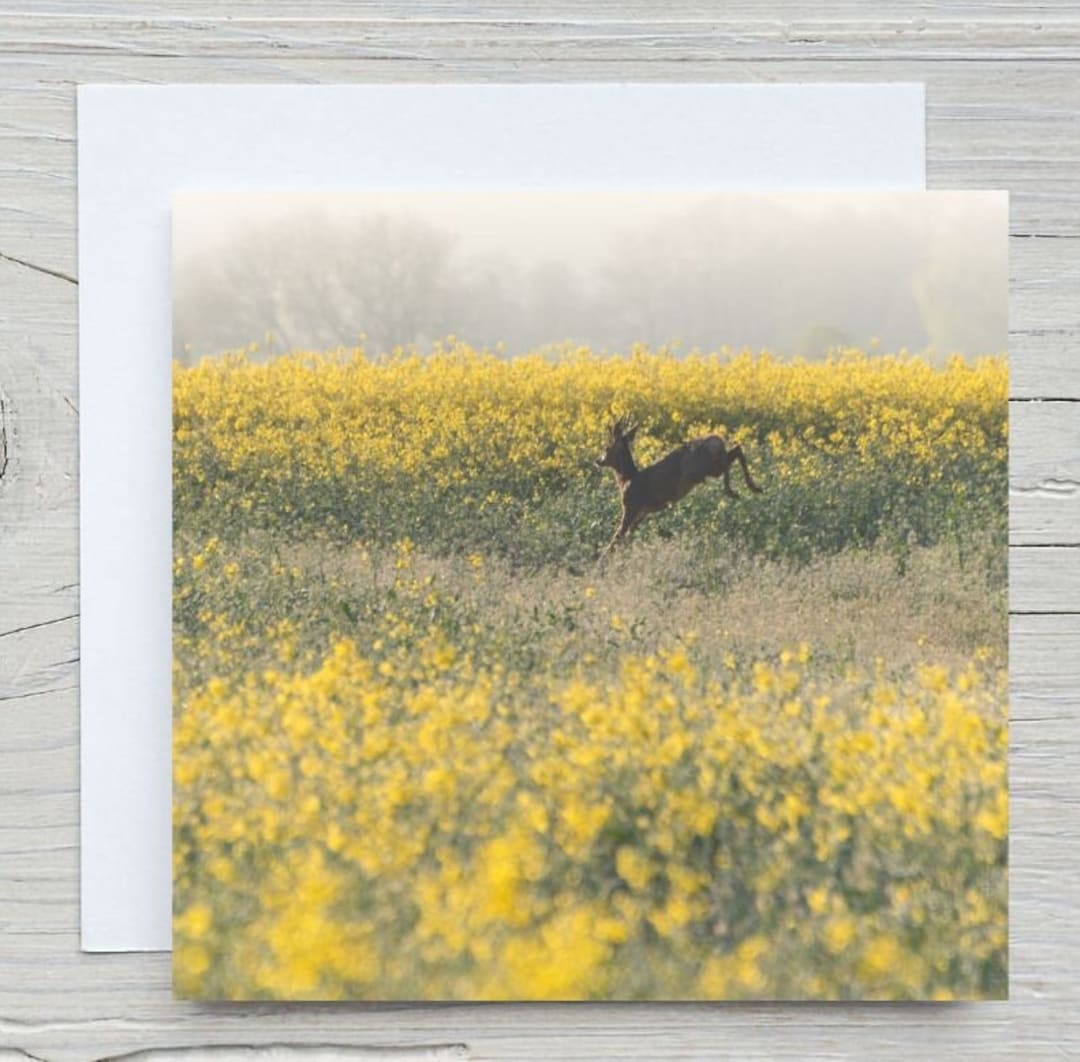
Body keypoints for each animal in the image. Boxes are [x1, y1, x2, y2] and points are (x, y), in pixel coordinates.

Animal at [596, 416, 763, 555]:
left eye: (607, 447)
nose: (598, 460)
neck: (627, 479)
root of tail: (716, 440)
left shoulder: (631, 506)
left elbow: (616, 538)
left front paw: (602, 562)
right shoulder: (642, 513)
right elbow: (625, 538)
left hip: (699, 470)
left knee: (729, 459)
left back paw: (732, 490)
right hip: (707, 466)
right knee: (736, 449)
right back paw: (754, 488)